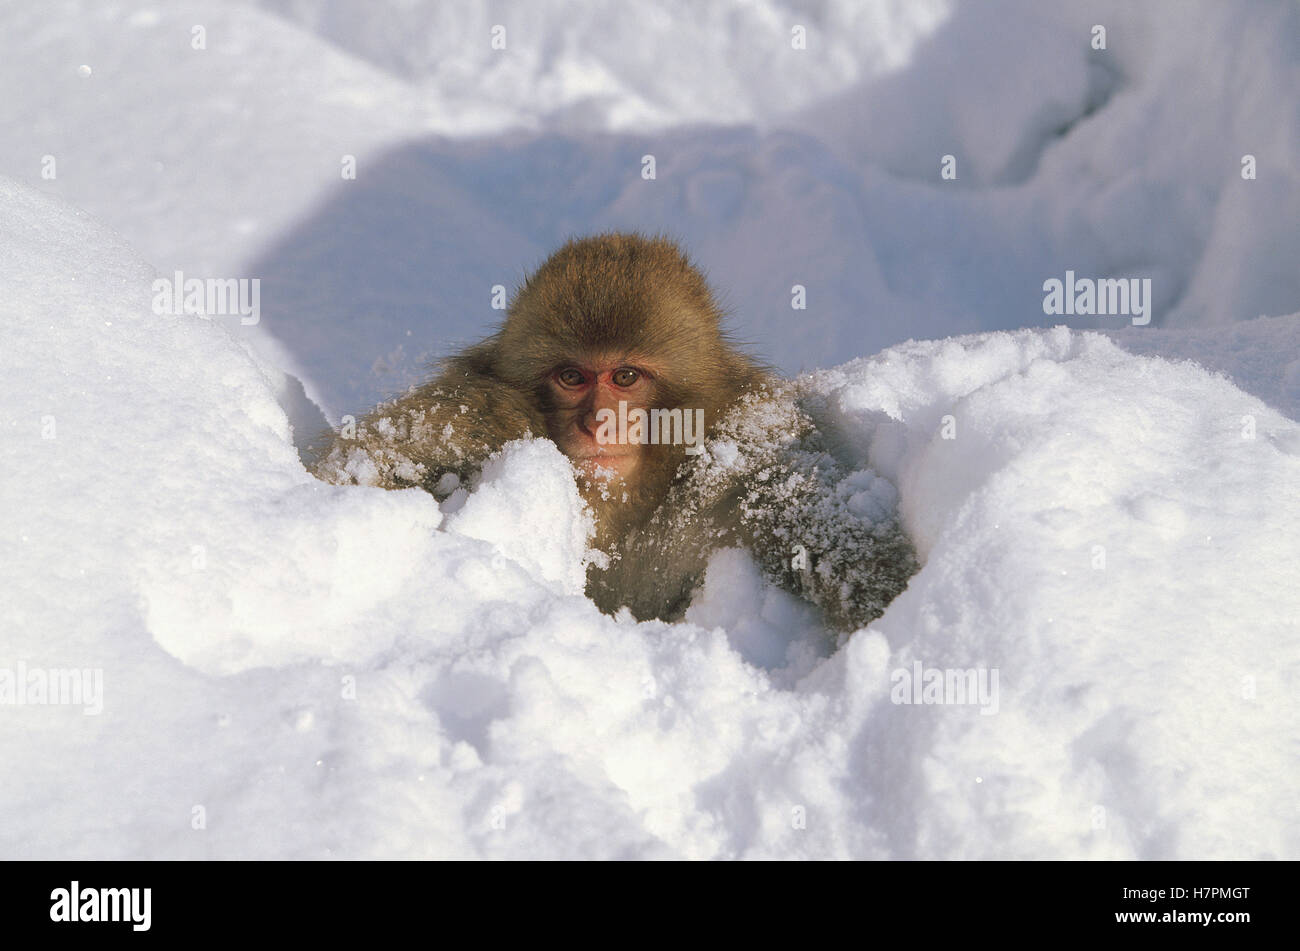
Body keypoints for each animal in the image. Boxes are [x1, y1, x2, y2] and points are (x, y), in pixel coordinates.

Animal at [312, 233, 916, 636]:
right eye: (572, 377)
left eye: (625, 377)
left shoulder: (751, 450)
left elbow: (835, 538)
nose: (598, 421)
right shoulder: (471, 419)